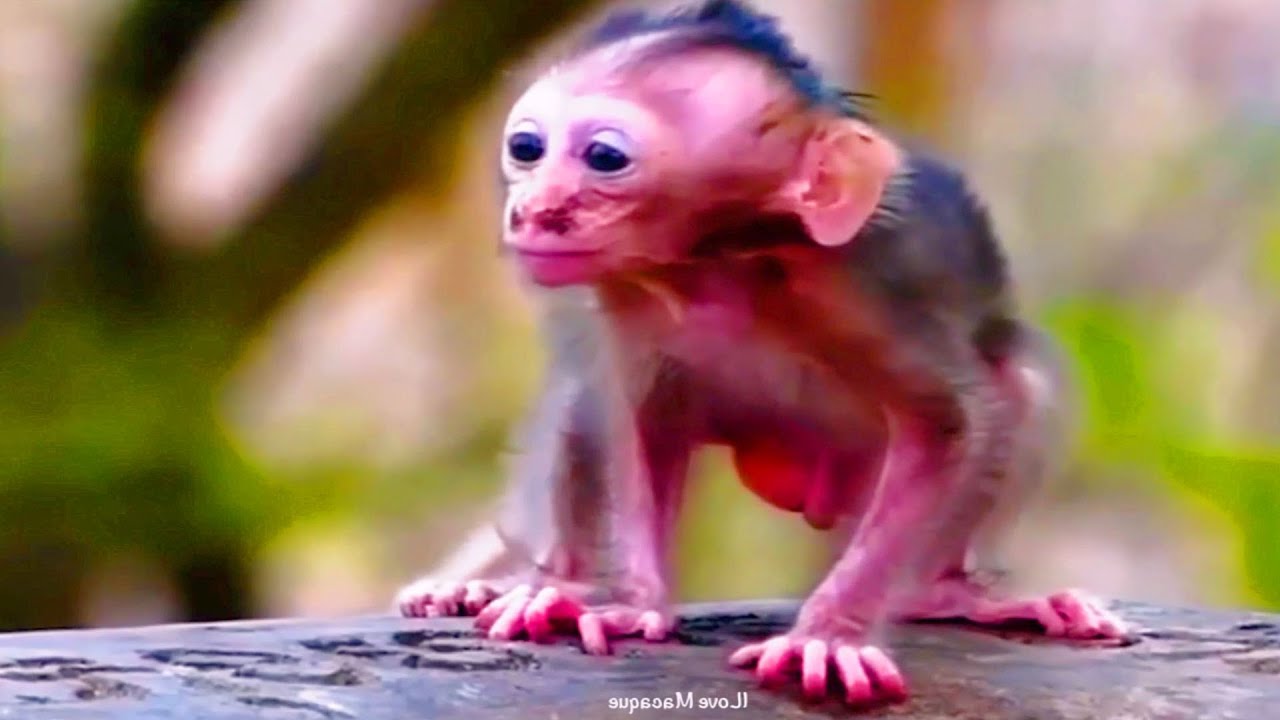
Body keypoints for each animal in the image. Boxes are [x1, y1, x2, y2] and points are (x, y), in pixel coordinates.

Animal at [395, 0, 1128, 706]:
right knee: (585, 398)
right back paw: (536, 584)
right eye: (526, 147)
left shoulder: (853, 293)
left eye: (603, 157)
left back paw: (945, 593)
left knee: (1018, 388)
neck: (716, 267)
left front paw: (829, 637)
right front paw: (634, 605)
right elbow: (640, 424)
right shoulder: (629, 297)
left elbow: (943, 427)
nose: (531, 209)